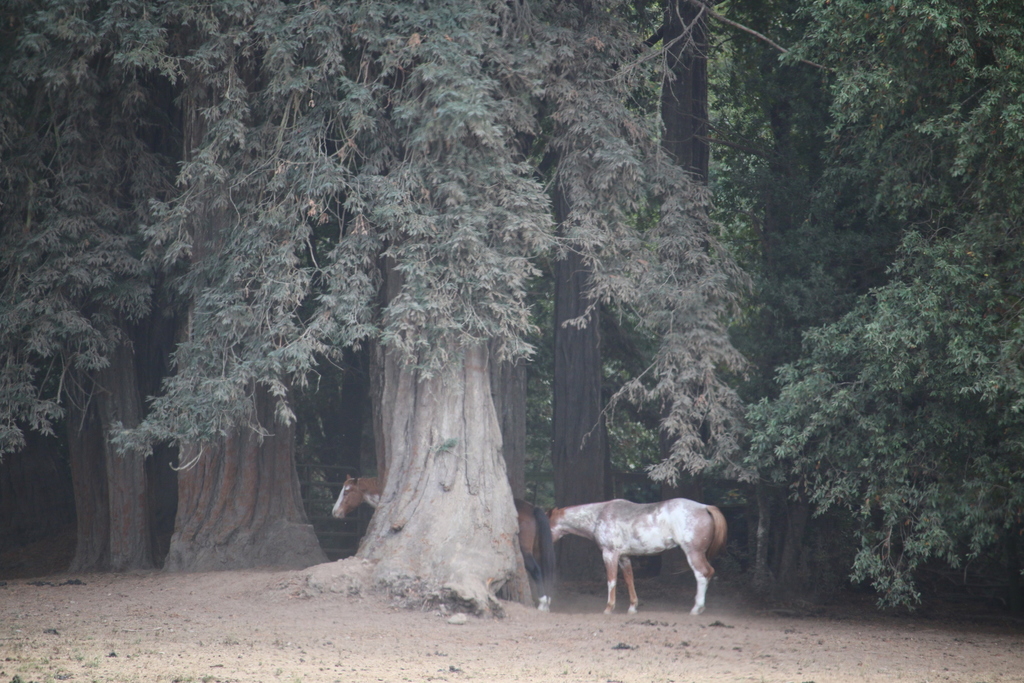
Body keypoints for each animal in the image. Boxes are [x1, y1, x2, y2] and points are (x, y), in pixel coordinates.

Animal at [331, 475, 555, 611]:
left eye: (347, 491)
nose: (335, 512)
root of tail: (532, 508)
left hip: (526, 552)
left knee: (536, 571)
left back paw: (543, 604)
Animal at [548, 497, 727, 616]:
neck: (599, 515)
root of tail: (704, 507)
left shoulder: (609, 554)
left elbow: (611, 581)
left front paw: (609, 608)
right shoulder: (624, 557)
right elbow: (629, 580)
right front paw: (632, 607)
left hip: (693, 553)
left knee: (703, 574)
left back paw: (697, 608)